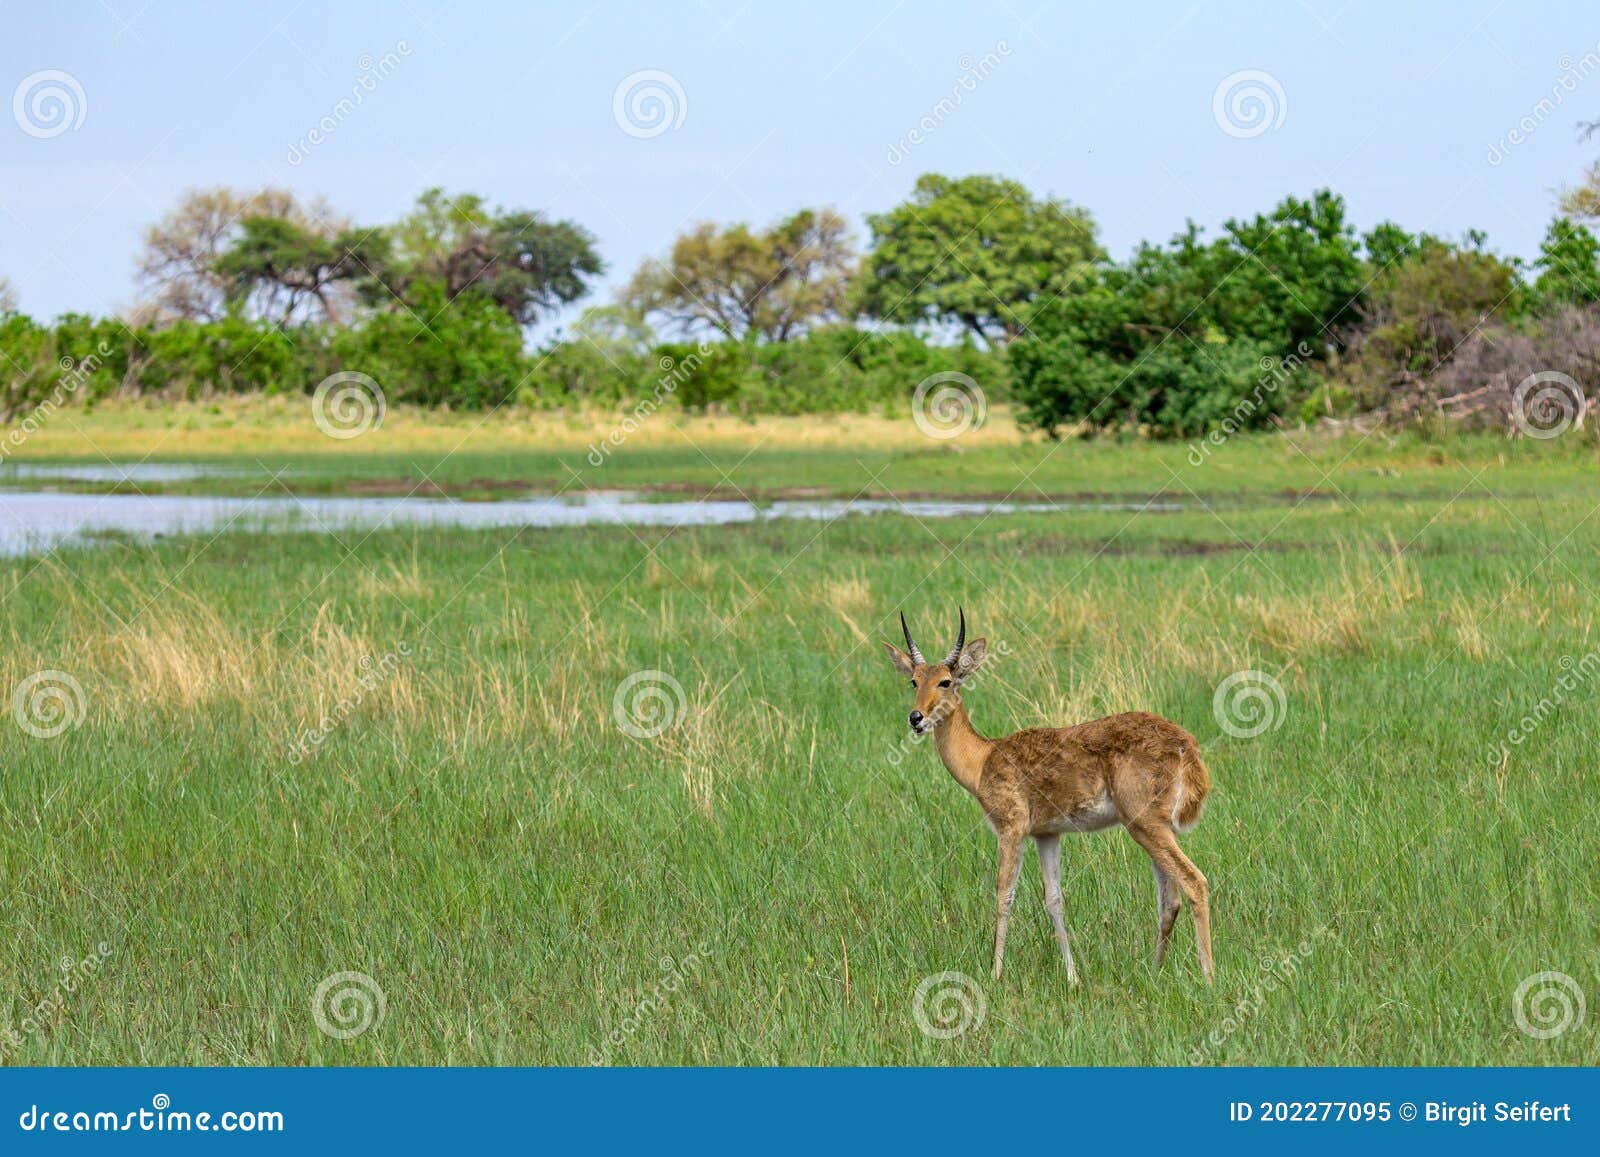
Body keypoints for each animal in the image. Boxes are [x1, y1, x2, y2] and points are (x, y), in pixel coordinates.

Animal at [885, 610, 1214, 985]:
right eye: (914, 681)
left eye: (946, 681)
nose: (916, 718)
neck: (983, 759)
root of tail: (1185, 743)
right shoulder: (1047, 834)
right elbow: (1054, 899)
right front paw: (1072, 977)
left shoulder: (1011, 829)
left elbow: (1004, 894)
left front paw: (995, 973)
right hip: (1154, 829)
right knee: (1169, 898)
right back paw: (1154, 970)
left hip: (1145, 825)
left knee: (1194, 882)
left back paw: (1207, 977)